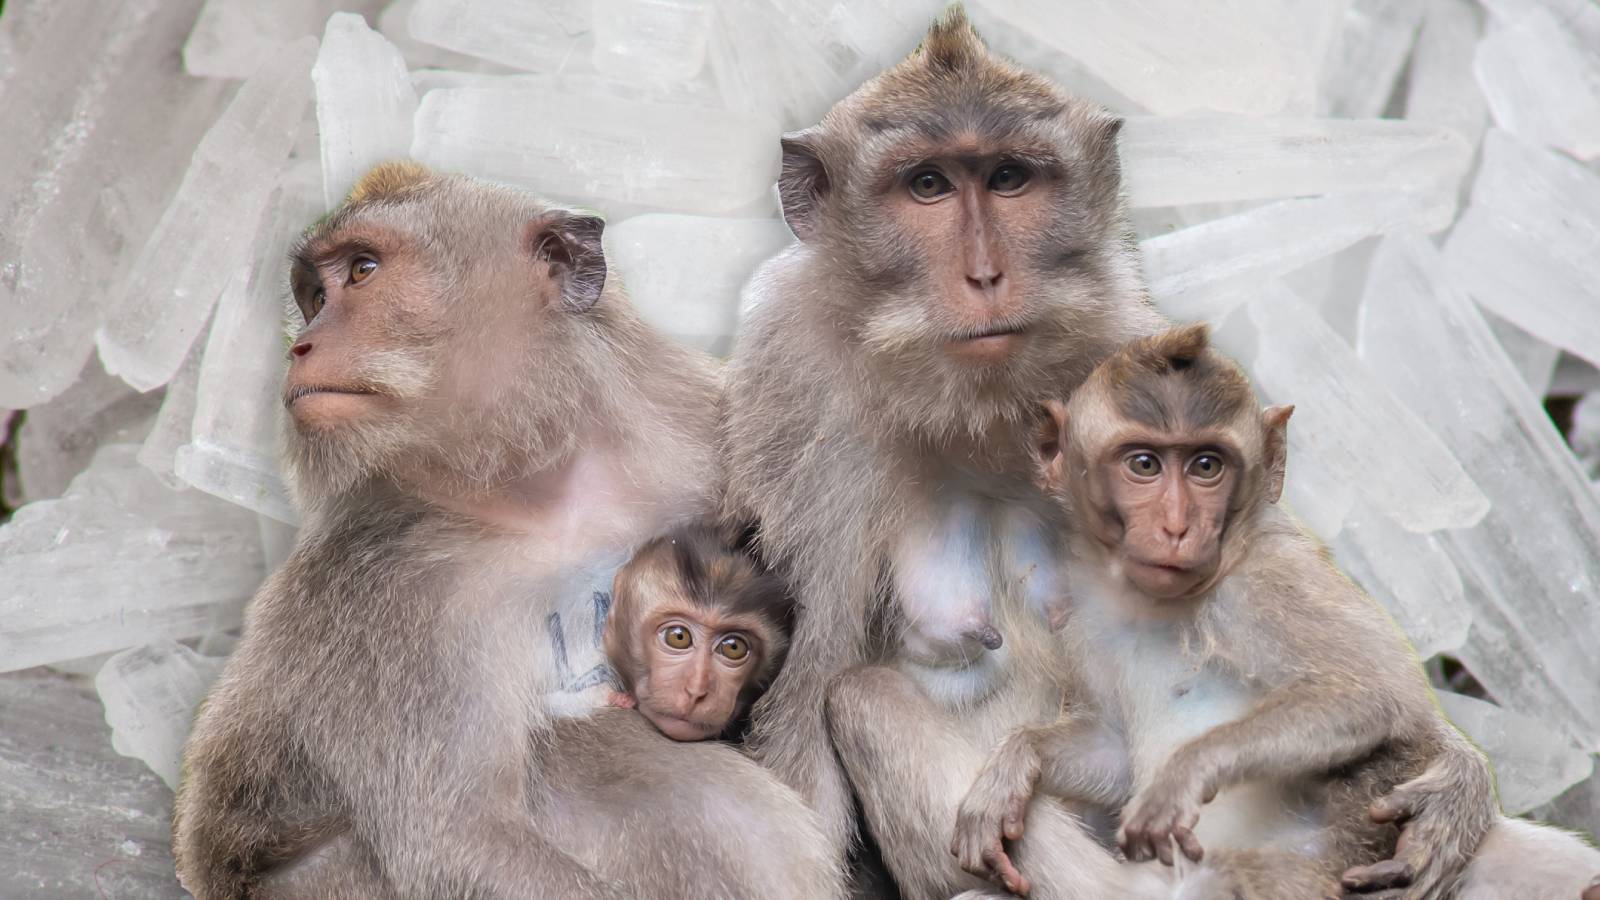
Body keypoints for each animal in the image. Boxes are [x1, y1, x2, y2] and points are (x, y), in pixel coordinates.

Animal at [720, 7, 1501, 899]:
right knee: (861, 698)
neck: (971, 407)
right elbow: (806, 692)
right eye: (927, 186)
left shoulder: (1120, 342)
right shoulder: (798, 401)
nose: (985, 274)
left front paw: (1454, 778)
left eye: (1010, 178)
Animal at [949, 324, 1600, 900]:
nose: (1178, 526)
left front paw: (1186, 771)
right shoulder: (1082, 614)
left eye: (1207, 466)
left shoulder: (1269, 582)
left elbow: (1372, 696)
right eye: (1144, 464)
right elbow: (1113, 753)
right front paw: (1013, 765)